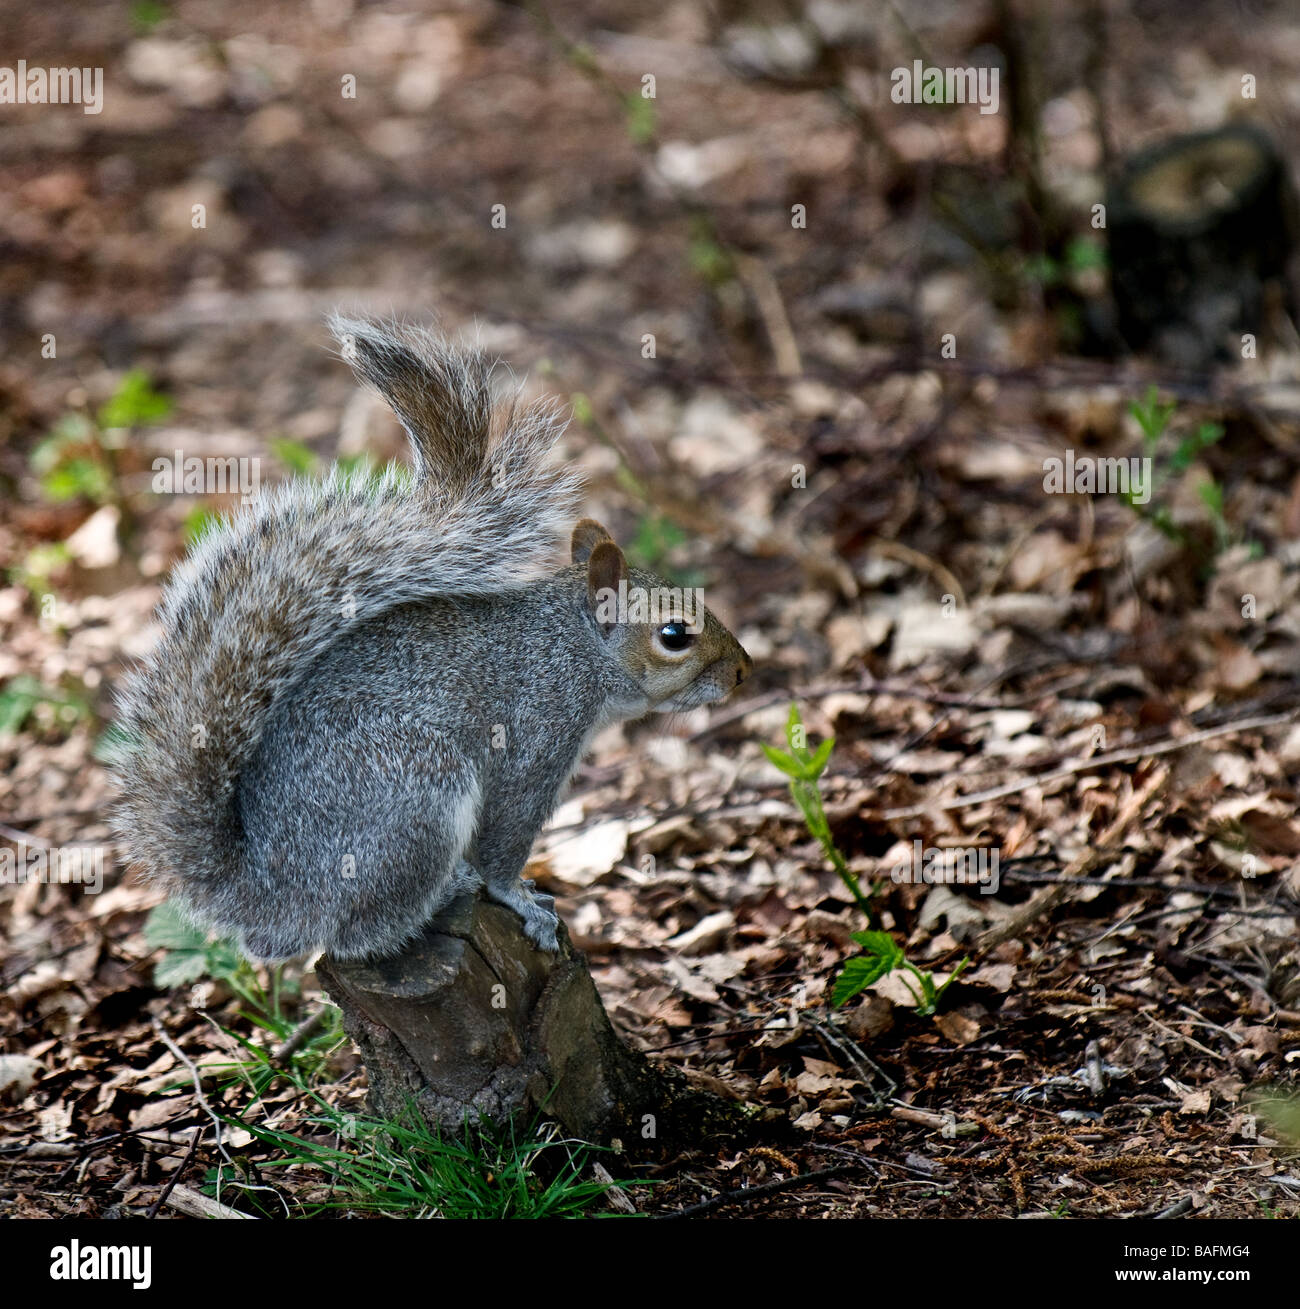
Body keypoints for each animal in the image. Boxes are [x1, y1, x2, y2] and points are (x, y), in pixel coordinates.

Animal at [112, 316, 752, 962]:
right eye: (674, 634)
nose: (743, 671)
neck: (570, 647)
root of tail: (270, 892)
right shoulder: (535, 738)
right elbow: (504, 842)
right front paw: (522, 901)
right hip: (418, 793)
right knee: (358, 936)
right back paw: (441, 895)